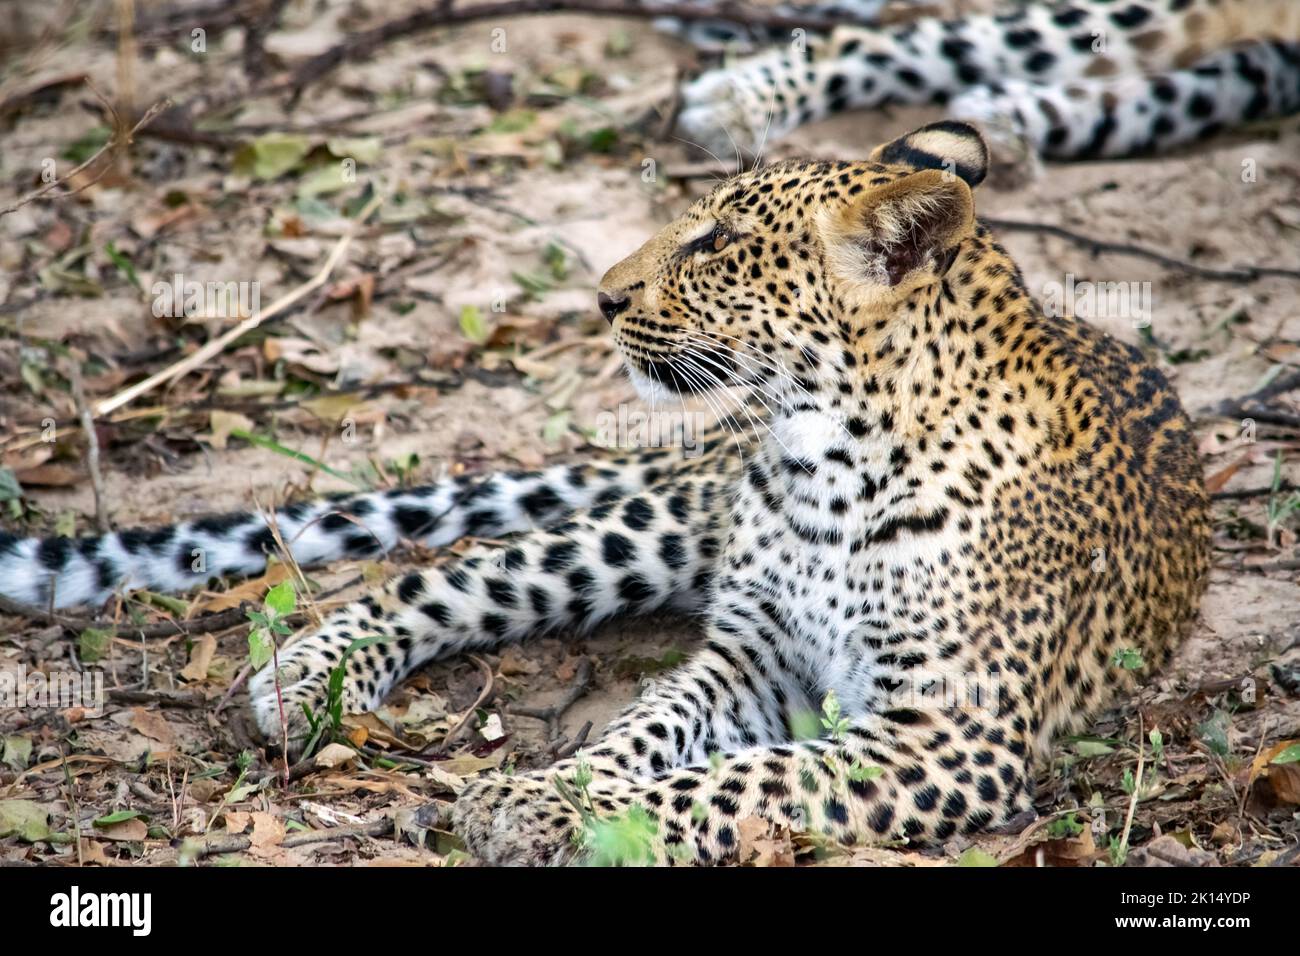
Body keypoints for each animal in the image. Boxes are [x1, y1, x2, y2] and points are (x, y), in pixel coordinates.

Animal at [1, 121, 1210, 866]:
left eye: (720, 241)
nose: (602, 294)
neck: (827, 461)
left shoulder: (949, 731)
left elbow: (743, 778)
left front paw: (548, 805)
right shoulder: (753, 657)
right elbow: (644, 731)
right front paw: (554, 792)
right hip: (650, 527)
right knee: (449, 575)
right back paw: (307, 676)